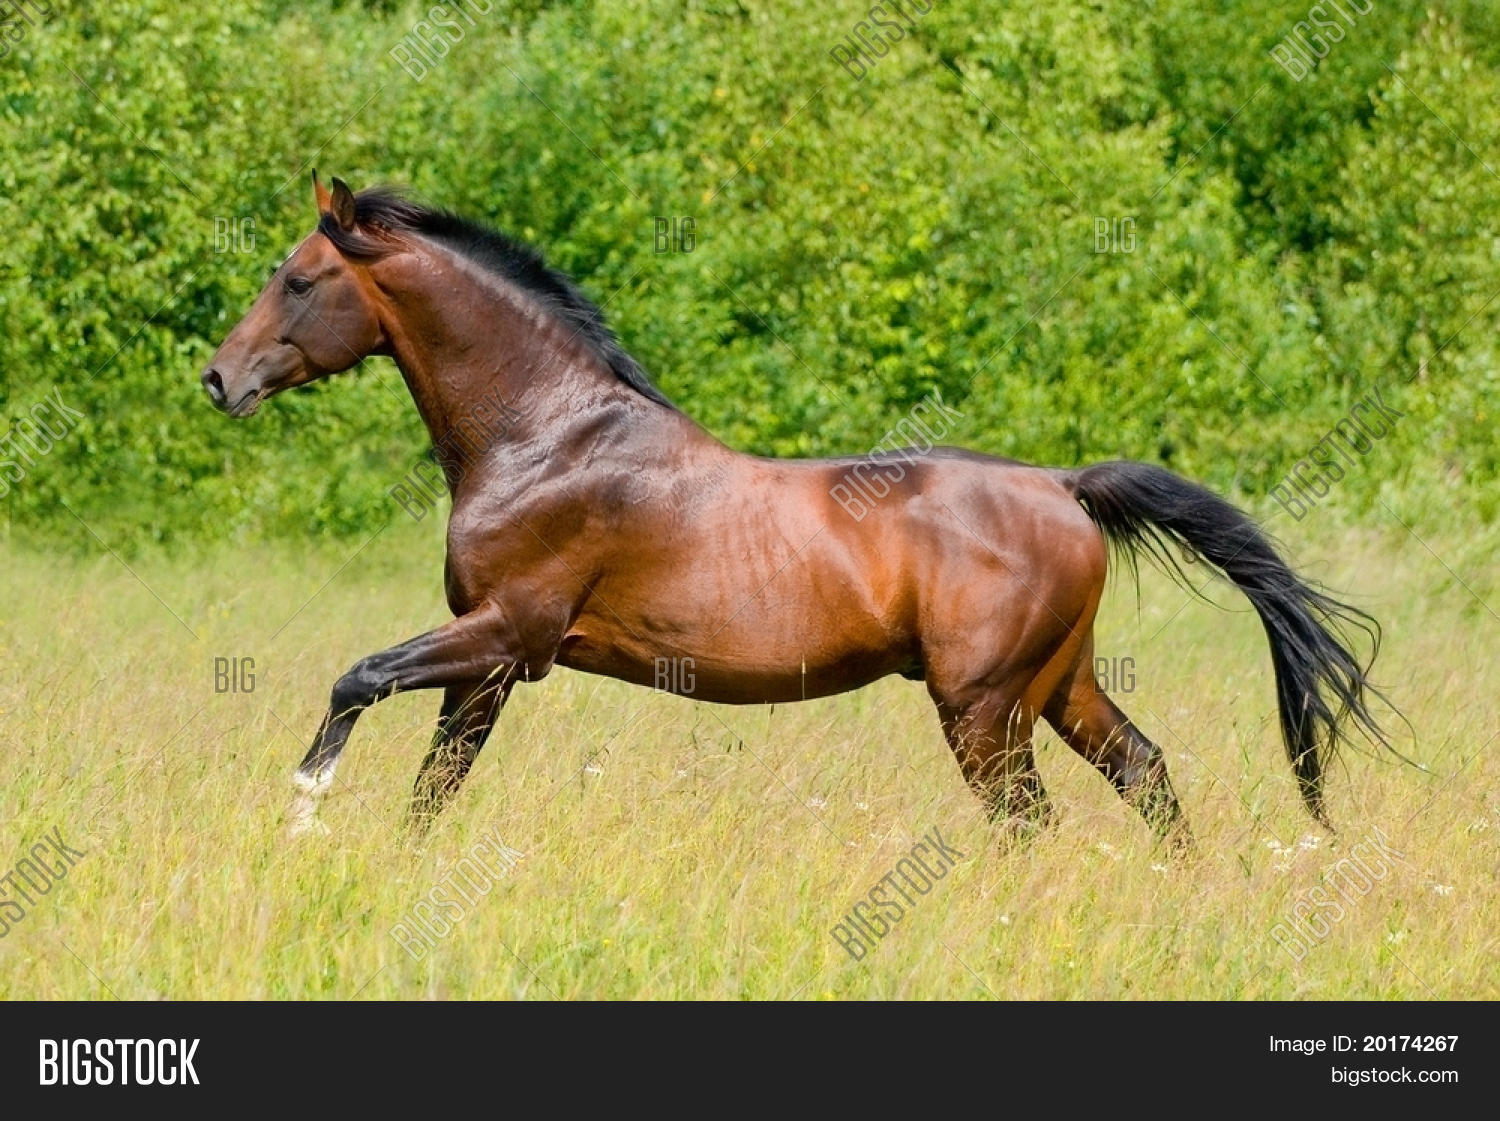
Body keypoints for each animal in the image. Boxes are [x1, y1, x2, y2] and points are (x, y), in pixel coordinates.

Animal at [201, 173, 1390, 843]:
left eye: (298, 279)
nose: (219, 380)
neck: (544, 440)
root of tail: (1062, 488)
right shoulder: (487, 663)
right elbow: (433, 788)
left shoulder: (506, 634)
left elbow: (357, 677)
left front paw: (302, 807)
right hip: (1058, 684)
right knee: (1144, 773)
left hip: (983, 706)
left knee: (1030, 821)